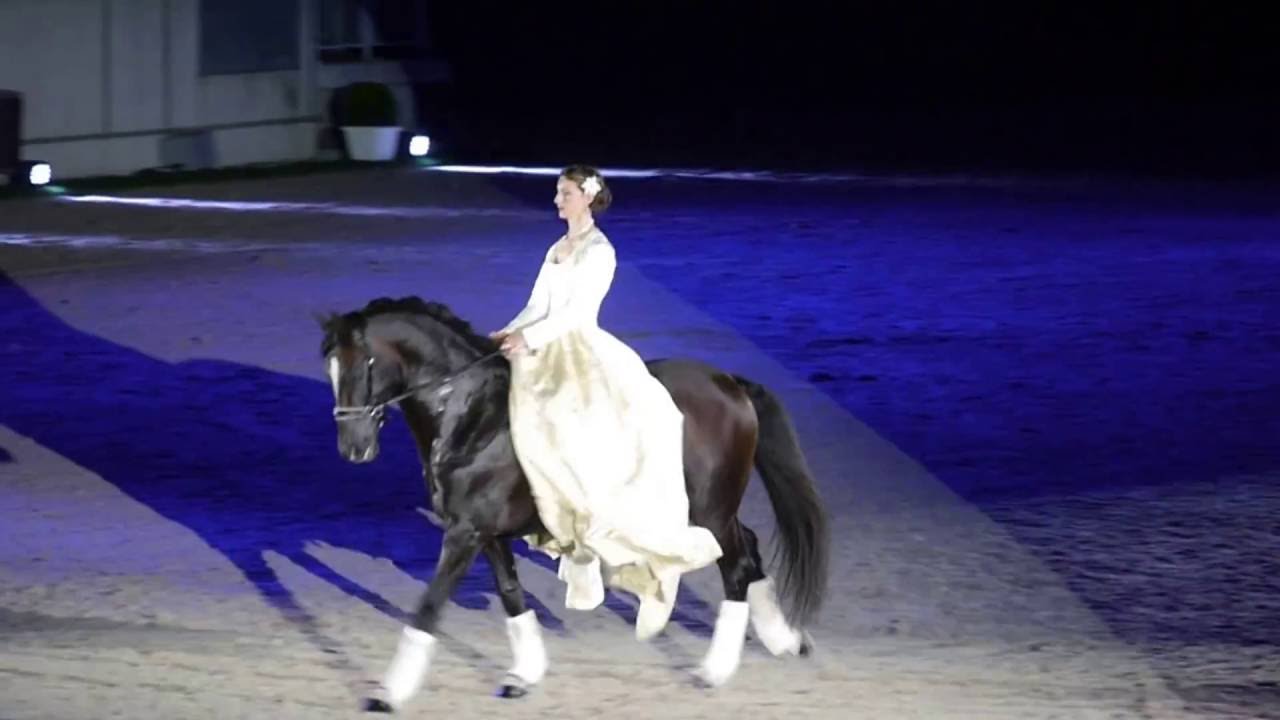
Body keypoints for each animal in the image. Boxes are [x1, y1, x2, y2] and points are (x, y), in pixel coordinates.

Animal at [318, 296, 829, 712]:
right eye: (330, 367)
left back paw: (715, 670)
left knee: (737, 563)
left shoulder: (465, 532)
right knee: (750, 547)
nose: (353, 448)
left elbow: (429, 605)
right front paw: (524, 675)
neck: (471, 415)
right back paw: (785, 640)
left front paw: (388, 694)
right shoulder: (485, 531)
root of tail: (729, 383)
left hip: (710, 509)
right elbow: (510, 593)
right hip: (714, 508)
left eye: (366, 363)